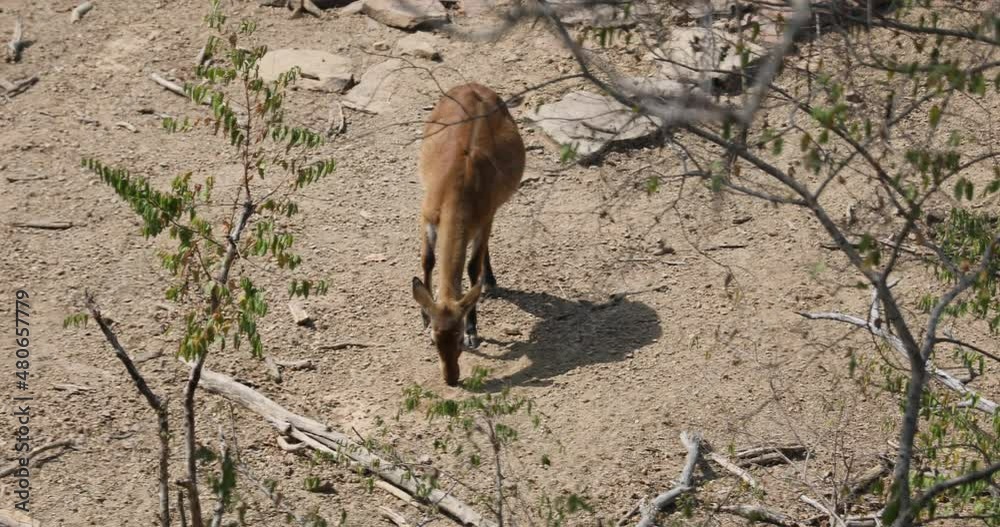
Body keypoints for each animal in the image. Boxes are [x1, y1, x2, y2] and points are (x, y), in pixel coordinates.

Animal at [411, 83, 526, 386]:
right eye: (435, 340)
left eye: (460, 338)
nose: (451, 378)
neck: (457, 186)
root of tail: (474, 85)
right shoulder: (426, 215)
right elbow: (428, 260)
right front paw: (424, 315)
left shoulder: (484, 220)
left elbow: (472, 269)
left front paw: (476, 331)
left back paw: (492, 281)